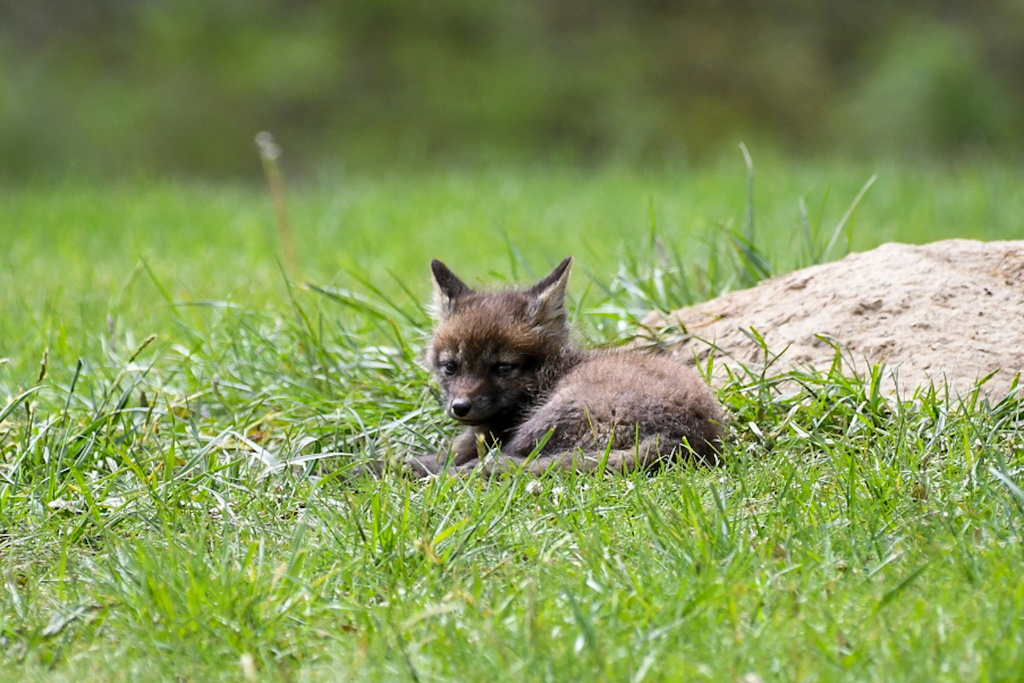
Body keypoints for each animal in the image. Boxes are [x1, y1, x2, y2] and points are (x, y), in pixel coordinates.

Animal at [412, 257, 724, 475]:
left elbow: (435, 459)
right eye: (450, 367)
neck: (555, 371)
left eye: (502, 368)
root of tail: (680, 436)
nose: (460, 407)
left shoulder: (489, 438)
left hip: (547, 419)